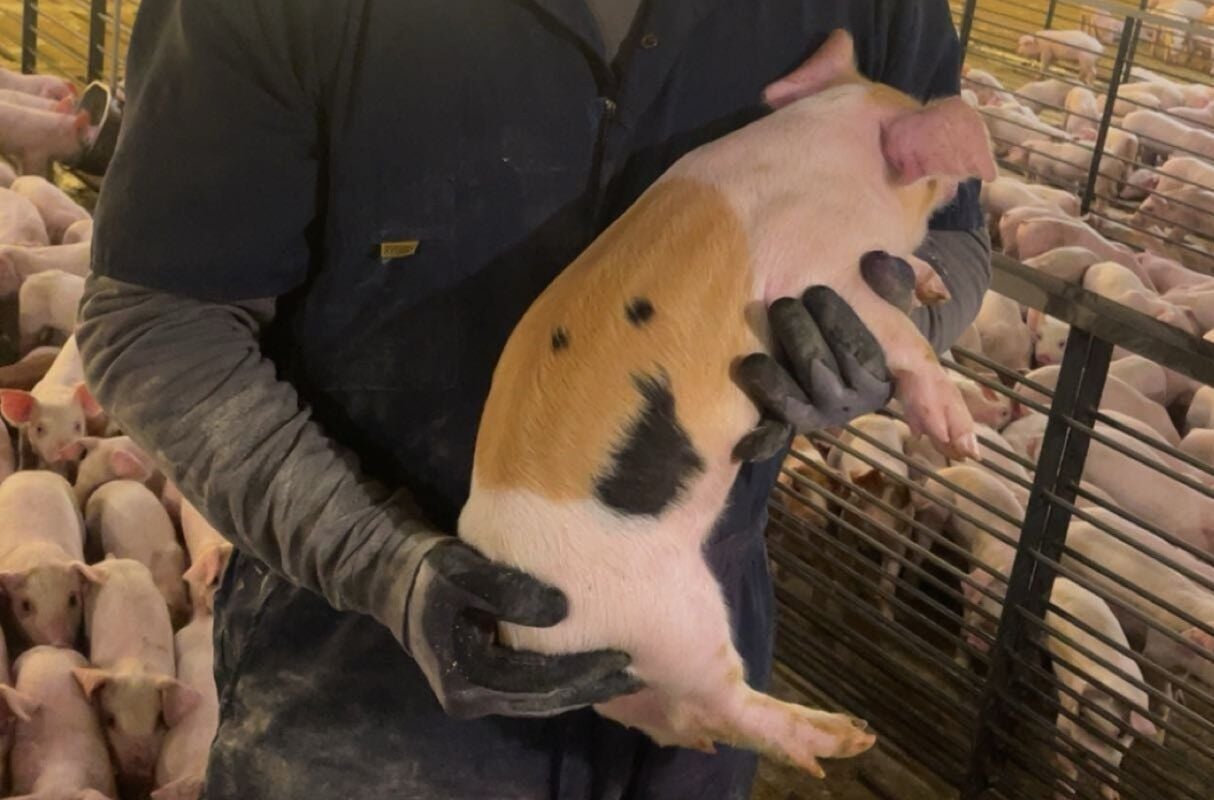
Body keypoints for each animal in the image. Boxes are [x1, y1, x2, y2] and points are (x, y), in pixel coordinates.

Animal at [0, 337, 102, 466]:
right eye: (39, 428)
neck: (55, 392)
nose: (64, 450)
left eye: (78, 426)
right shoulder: (24, 432)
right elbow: (25, 453)